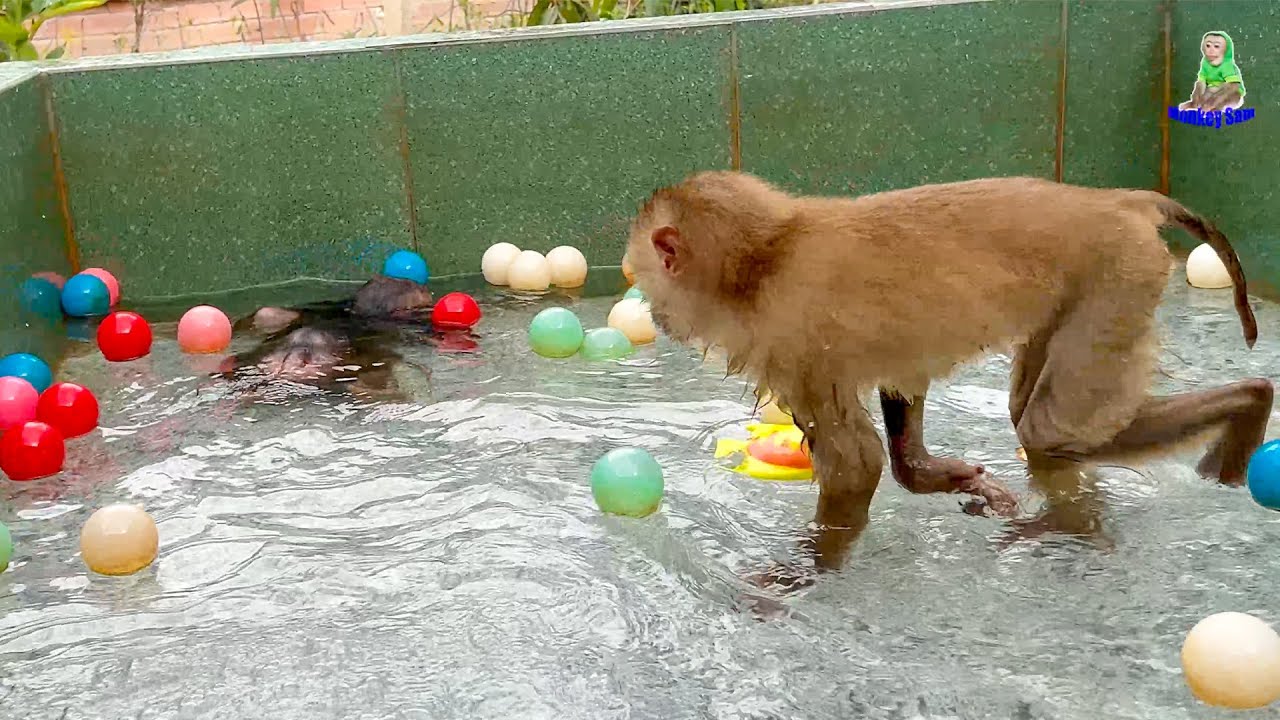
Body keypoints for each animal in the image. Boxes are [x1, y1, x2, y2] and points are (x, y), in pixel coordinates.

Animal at [625, 170, 1269, 588]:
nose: (657, 314)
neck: (764, 257)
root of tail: (1123, 201)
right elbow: (902, 381)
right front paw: (941, 477)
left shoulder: (792, 342)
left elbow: (857, 464)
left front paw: (810, 571)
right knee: (1033, 416)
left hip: (1120, 279)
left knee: (1046, 429)